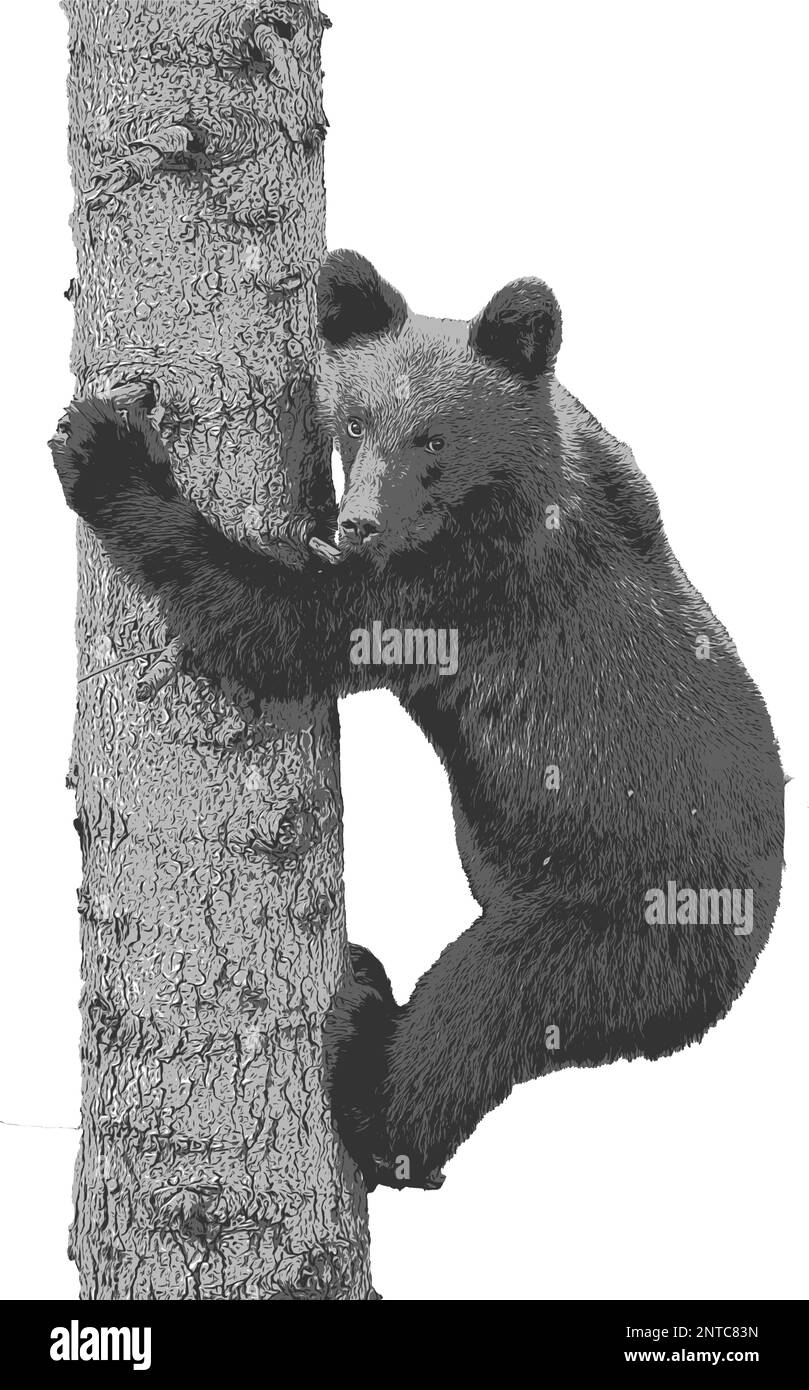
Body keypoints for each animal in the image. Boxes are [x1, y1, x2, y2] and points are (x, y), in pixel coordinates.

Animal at [51, 249, 784, 1192]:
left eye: (433, 439)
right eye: (356, 421)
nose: (358, 523)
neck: (504, 486)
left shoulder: (455, 584)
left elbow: (284, 627)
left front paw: (103, 449)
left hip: (611, 922)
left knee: (486, 1006)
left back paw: (368, 1040)